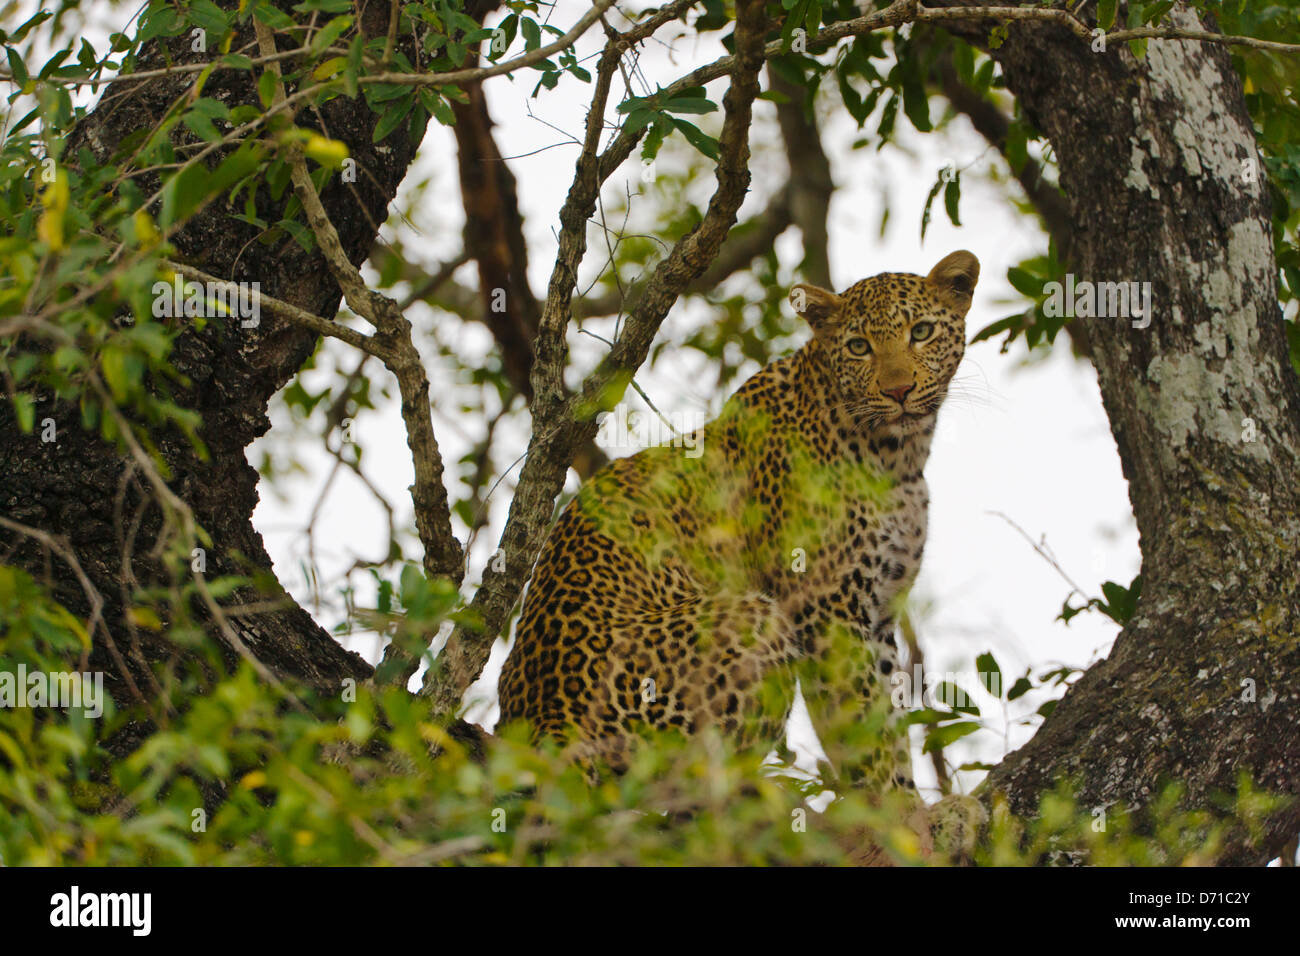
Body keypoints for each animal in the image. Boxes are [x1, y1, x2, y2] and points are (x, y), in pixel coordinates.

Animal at [496, 251, 985, 851]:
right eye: (858, 347)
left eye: (921, 333)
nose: (898, 391)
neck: (899, 458)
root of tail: (543, 727)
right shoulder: (827, 610)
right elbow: (860, 726)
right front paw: (898, 820)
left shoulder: (879, 612)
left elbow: (889, 722)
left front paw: (922, 810)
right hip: (750, 624)